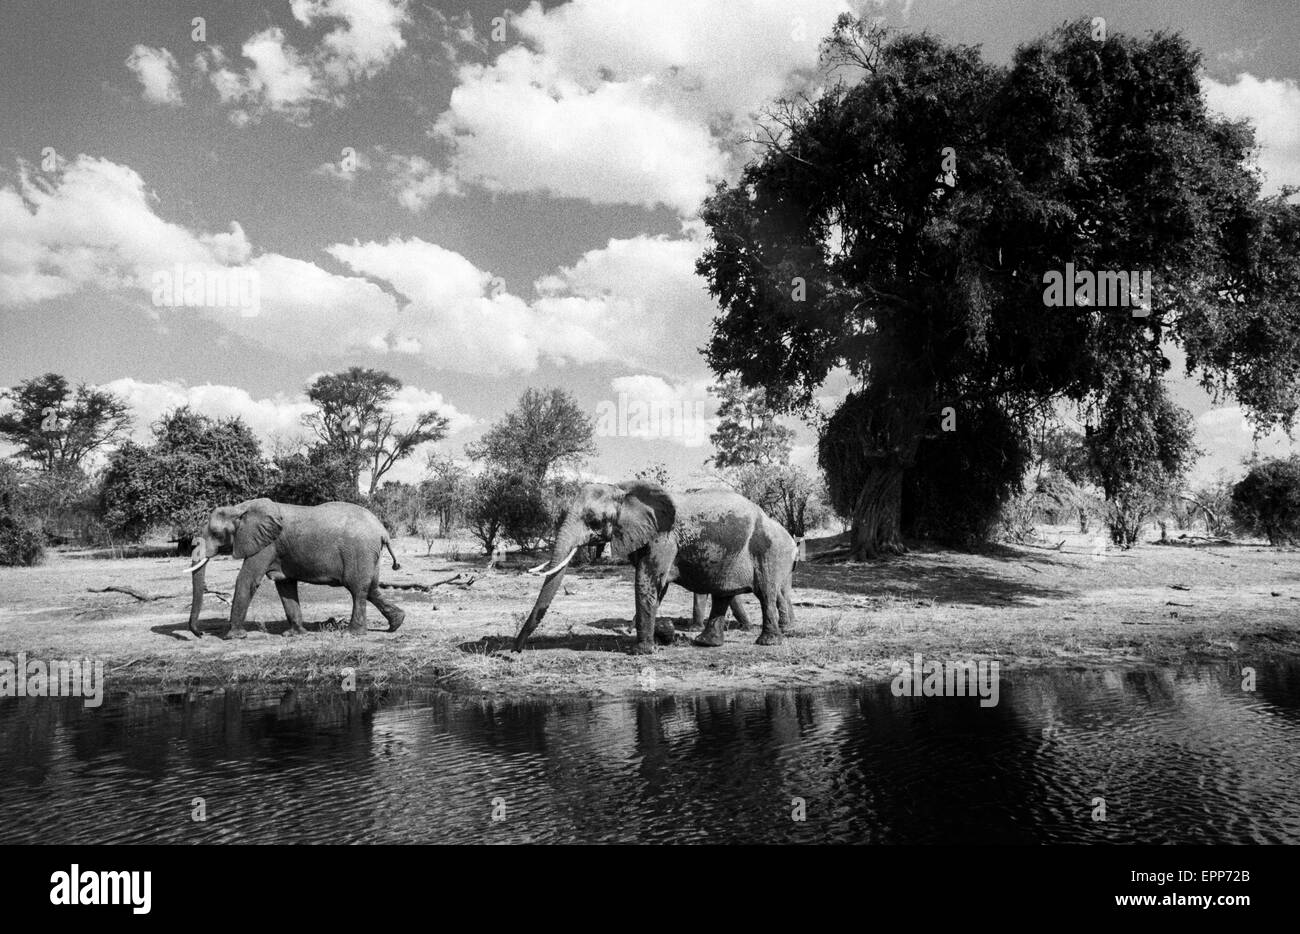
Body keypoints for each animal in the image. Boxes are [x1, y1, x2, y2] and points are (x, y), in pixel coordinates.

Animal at [185, 498, 405, 639]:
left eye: (216, 533)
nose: (201, 633)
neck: (240, 508)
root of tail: (383, 531)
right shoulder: (276, 549)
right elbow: (285, 584)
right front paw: (295, 635)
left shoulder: (266, 544)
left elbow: (248, 580)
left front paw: (233, 637)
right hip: (368, 554)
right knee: (371, 588)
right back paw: (396, 623)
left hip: (359, 551)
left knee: (357, 589)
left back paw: (352, 634)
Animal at [514, 482, 795, 654]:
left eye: (593, 520)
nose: (515, 650)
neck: (623, 491)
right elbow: (656, 587)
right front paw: (652, 639)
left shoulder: (663, 538)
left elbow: (648, 581)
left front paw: (641, 652)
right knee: (723, 594)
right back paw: (706, 644)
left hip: (768, 550)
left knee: (765, 592)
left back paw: (767, 642)